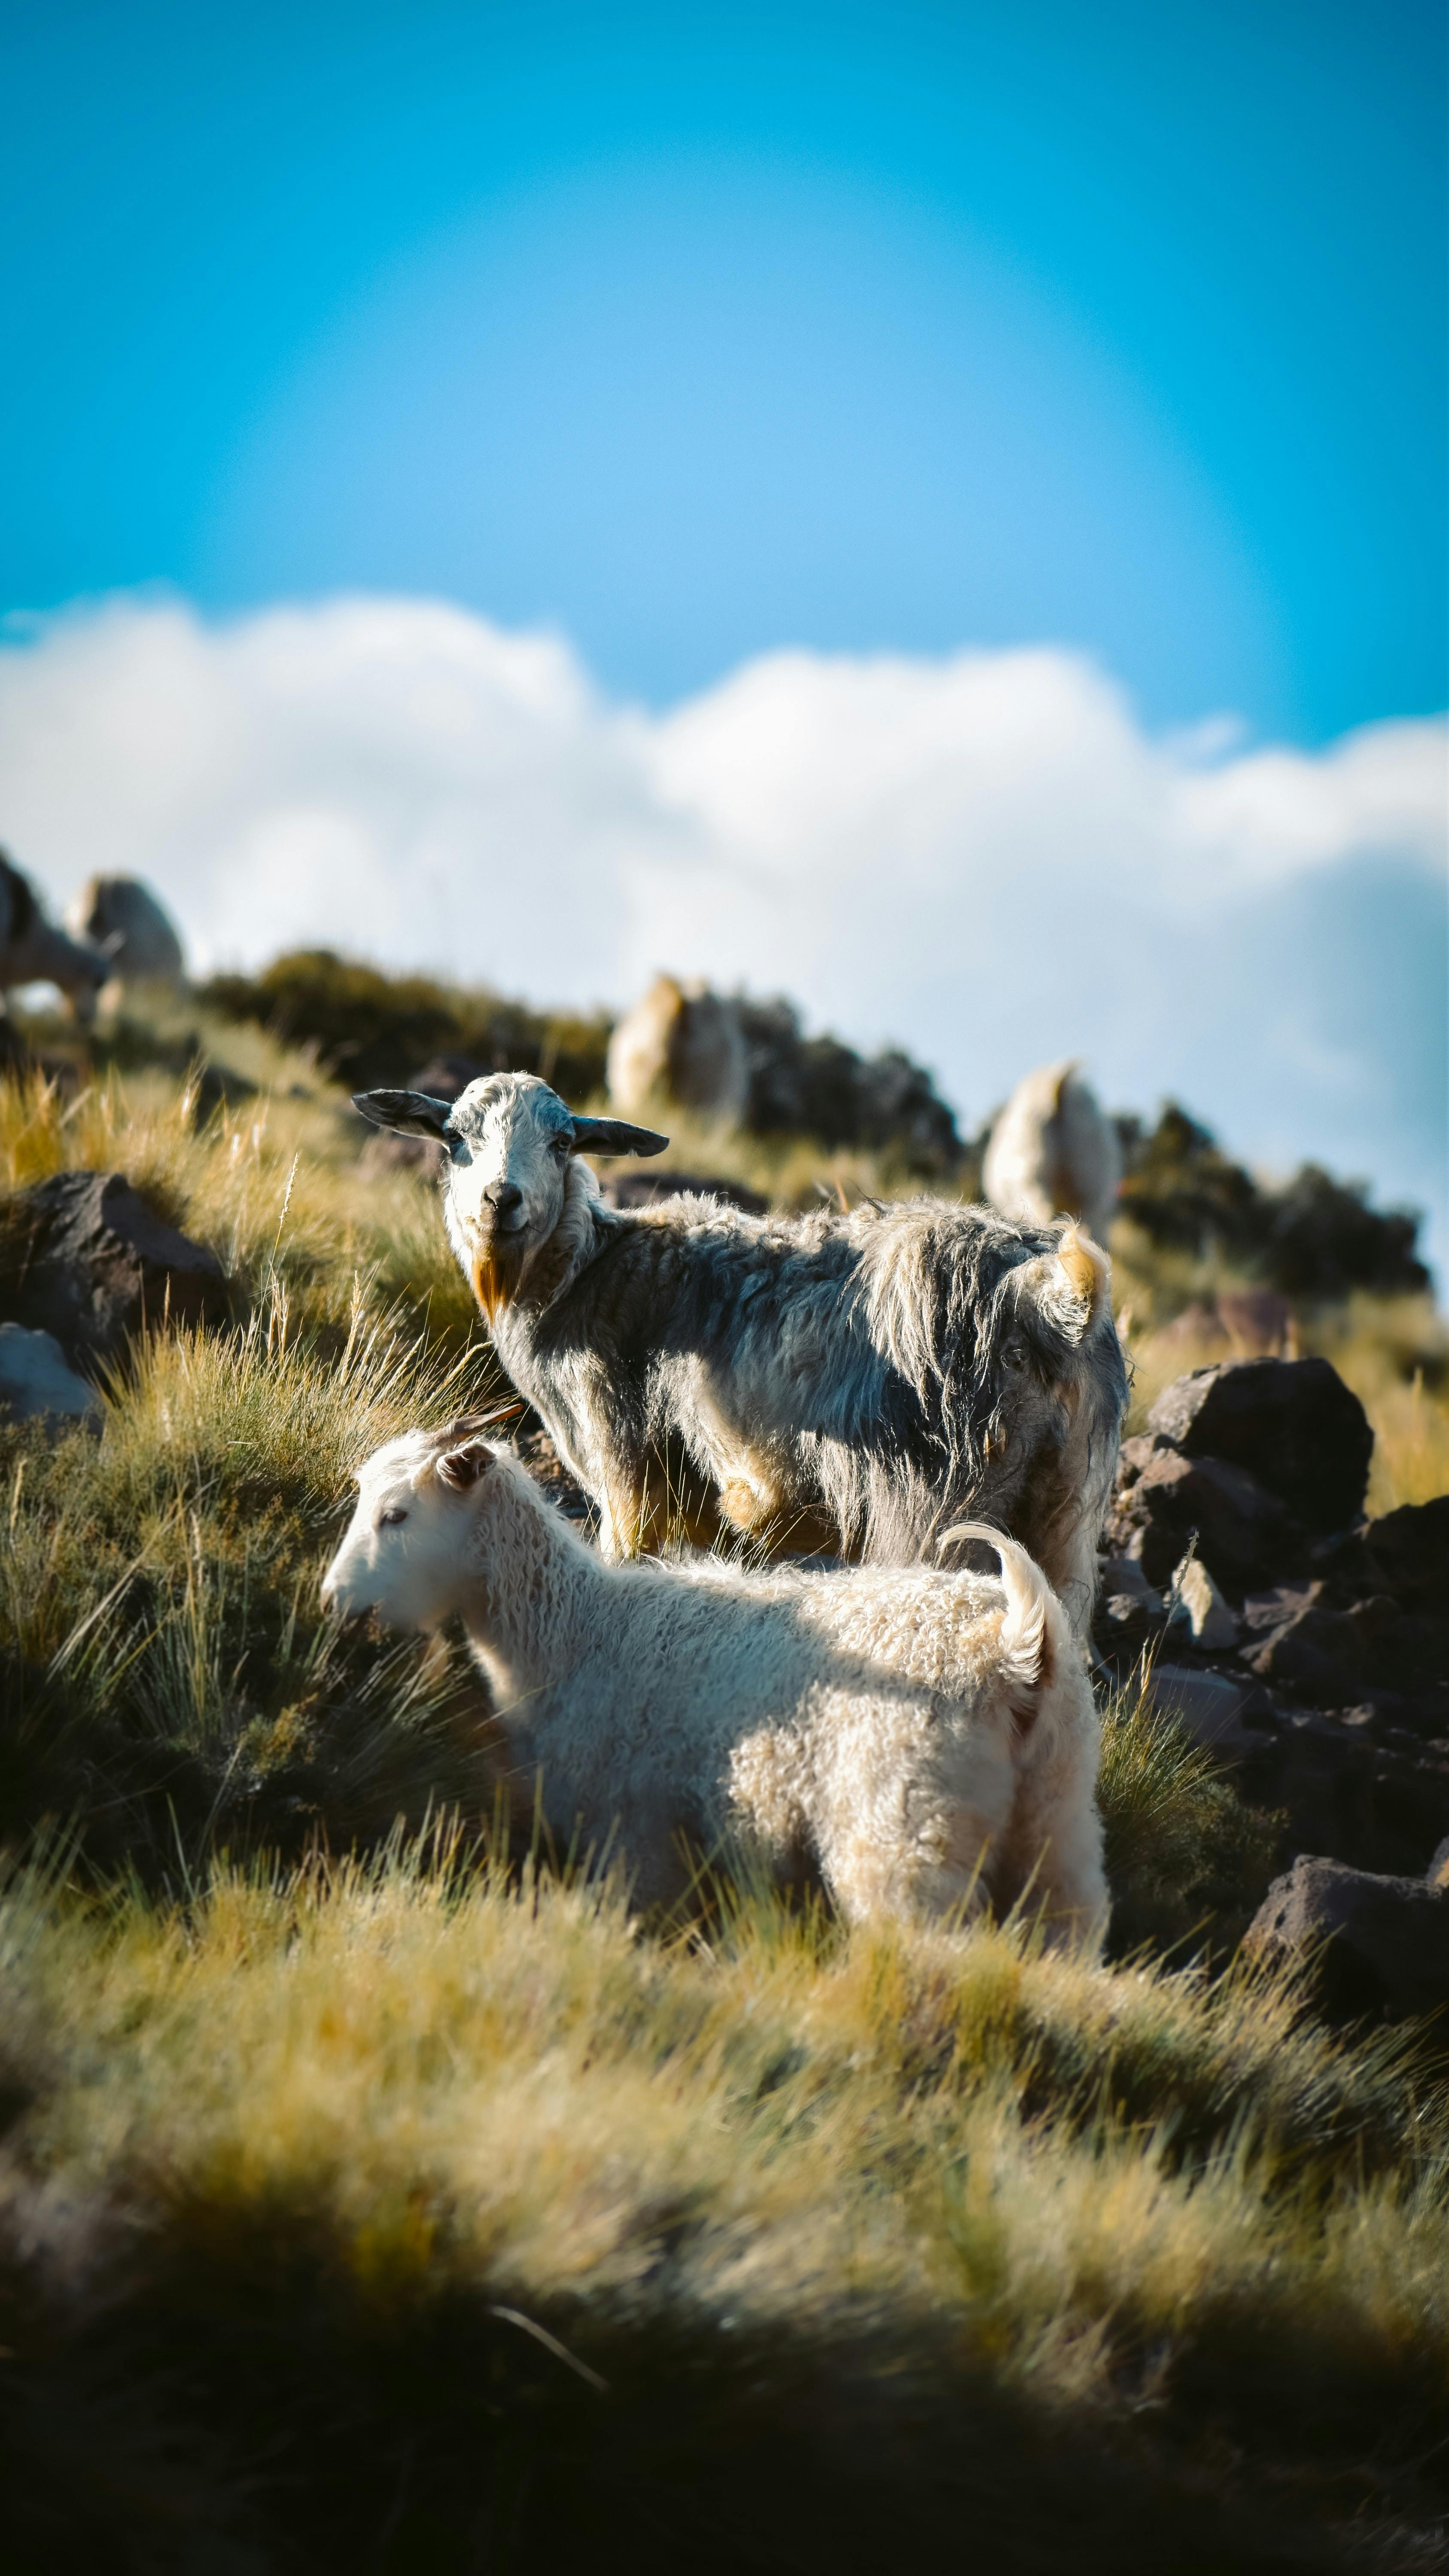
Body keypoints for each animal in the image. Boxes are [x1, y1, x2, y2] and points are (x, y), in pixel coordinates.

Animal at [322, 1420, 1108, 1944]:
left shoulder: (638, 1839)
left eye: (396, 1514)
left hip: (906, 1829)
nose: (334, 1599)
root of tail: (1013, 1647)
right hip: (1055, 1817)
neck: (575, 1631)